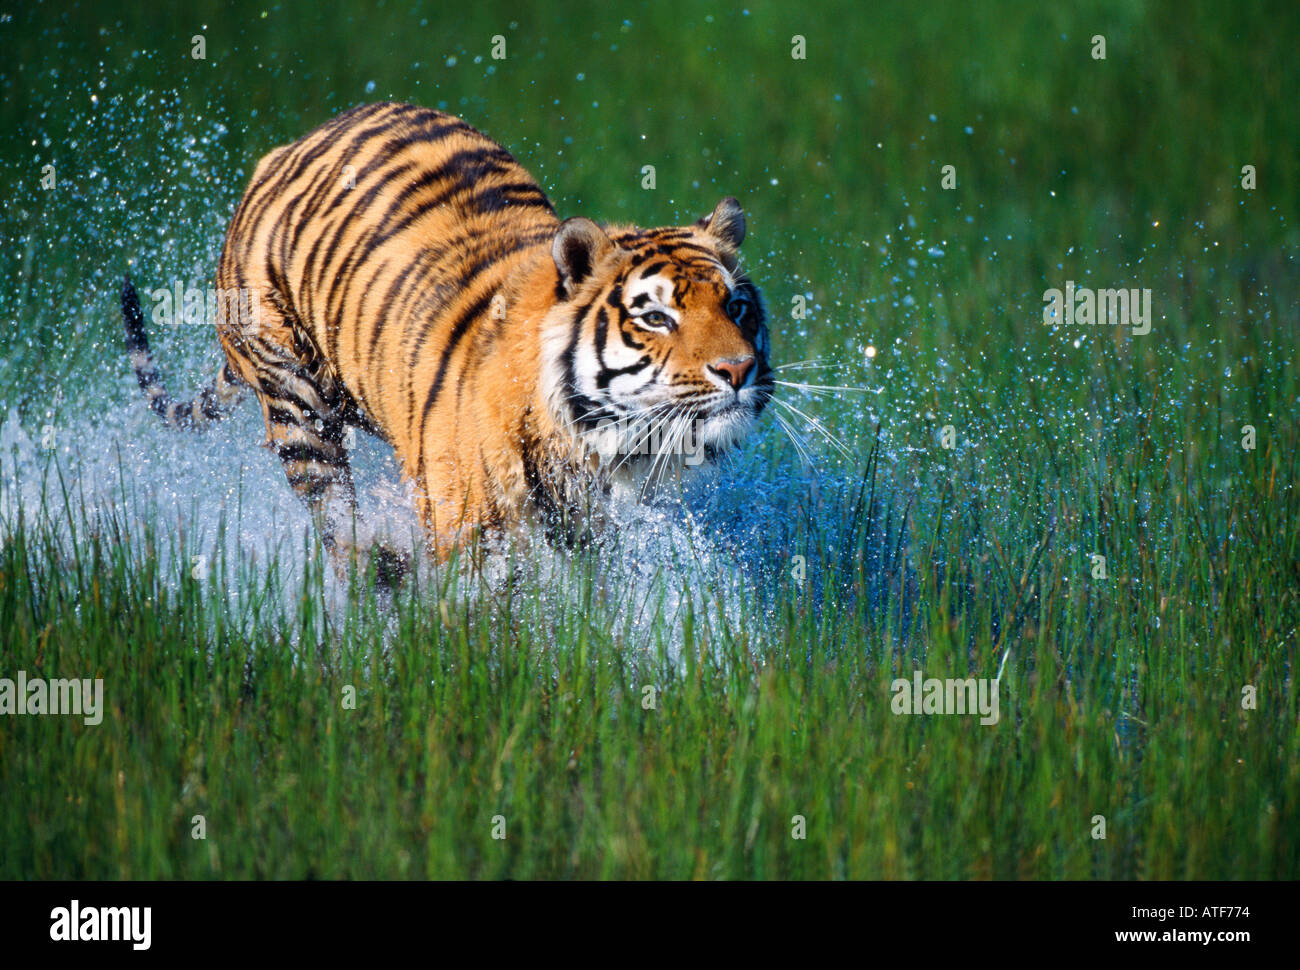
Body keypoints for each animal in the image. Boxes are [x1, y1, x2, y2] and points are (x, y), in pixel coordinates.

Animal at [121, 101, 772, 570]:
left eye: (736, 307)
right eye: (656, 317)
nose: (737, 371)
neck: (603, 451)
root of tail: (282, 153)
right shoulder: (472, 541)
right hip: (296, 408)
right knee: (337, 527)